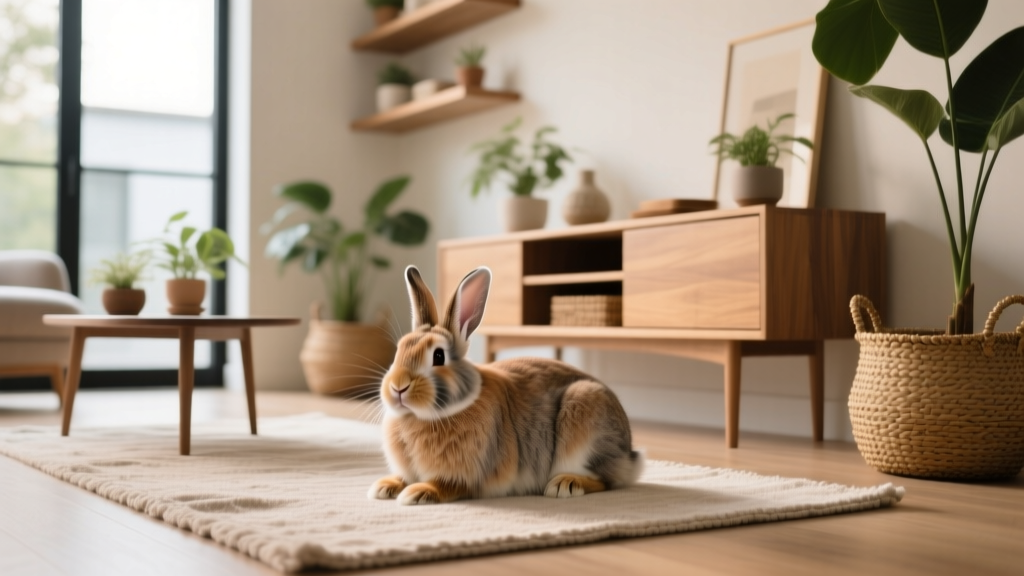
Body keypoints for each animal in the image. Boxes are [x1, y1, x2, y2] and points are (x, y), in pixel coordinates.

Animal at [368, 265, 643, 505]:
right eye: (399, 351)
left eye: (438, 356)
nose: (398, 387)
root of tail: (629, 454)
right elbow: (402, 478)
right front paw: (384, 486)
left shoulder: (467, 477)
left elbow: (446, 485)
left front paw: (417, 492)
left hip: (584, 421)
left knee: (605, 480)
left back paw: (565, 484)